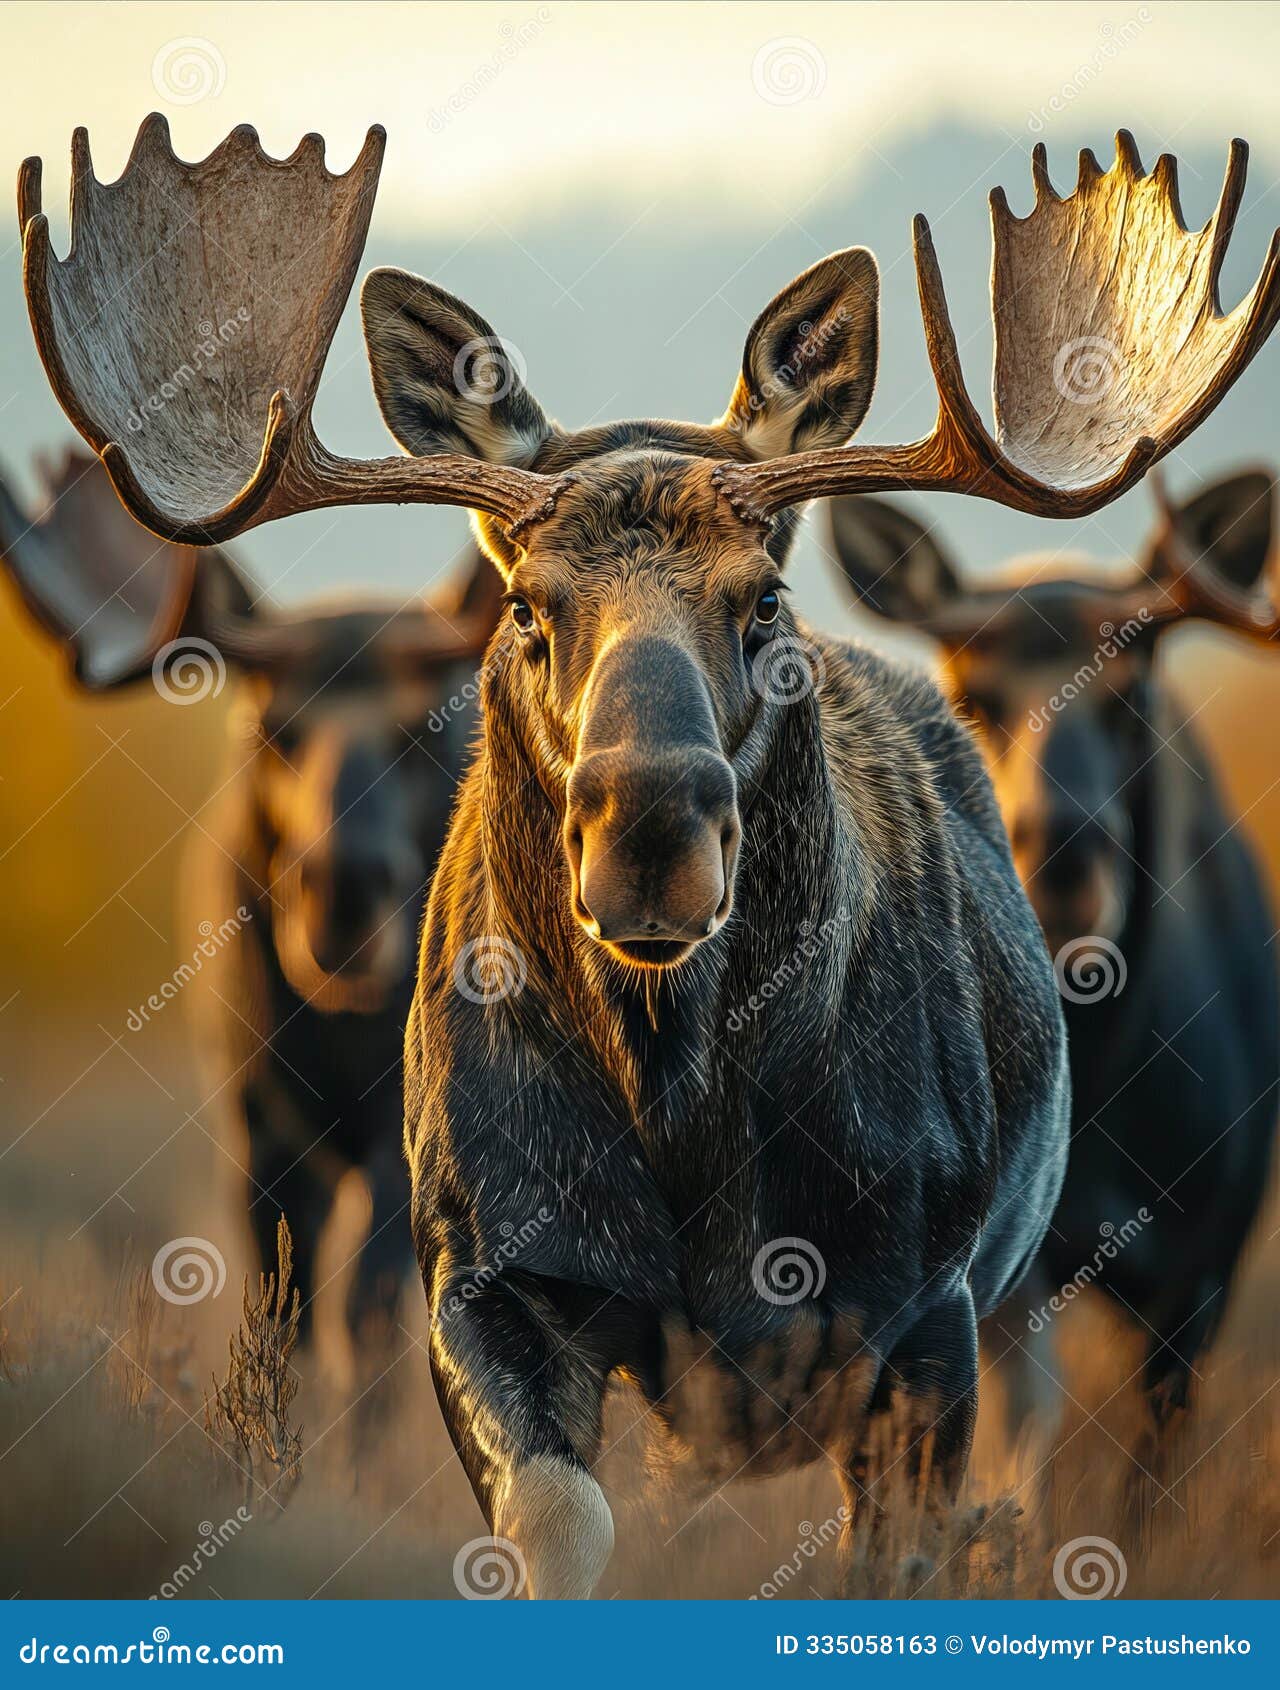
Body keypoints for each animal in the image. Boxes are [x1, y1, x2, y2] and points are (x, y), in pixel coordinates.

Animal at [0, 445, 499, 1354]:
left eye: (424, 729)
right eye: (270, 730)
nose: (343, 890)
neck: (343, 1039)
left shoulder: (416, 1120)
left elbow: (367, 1307)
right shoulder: (253, 1121)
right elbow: (280, 1306)